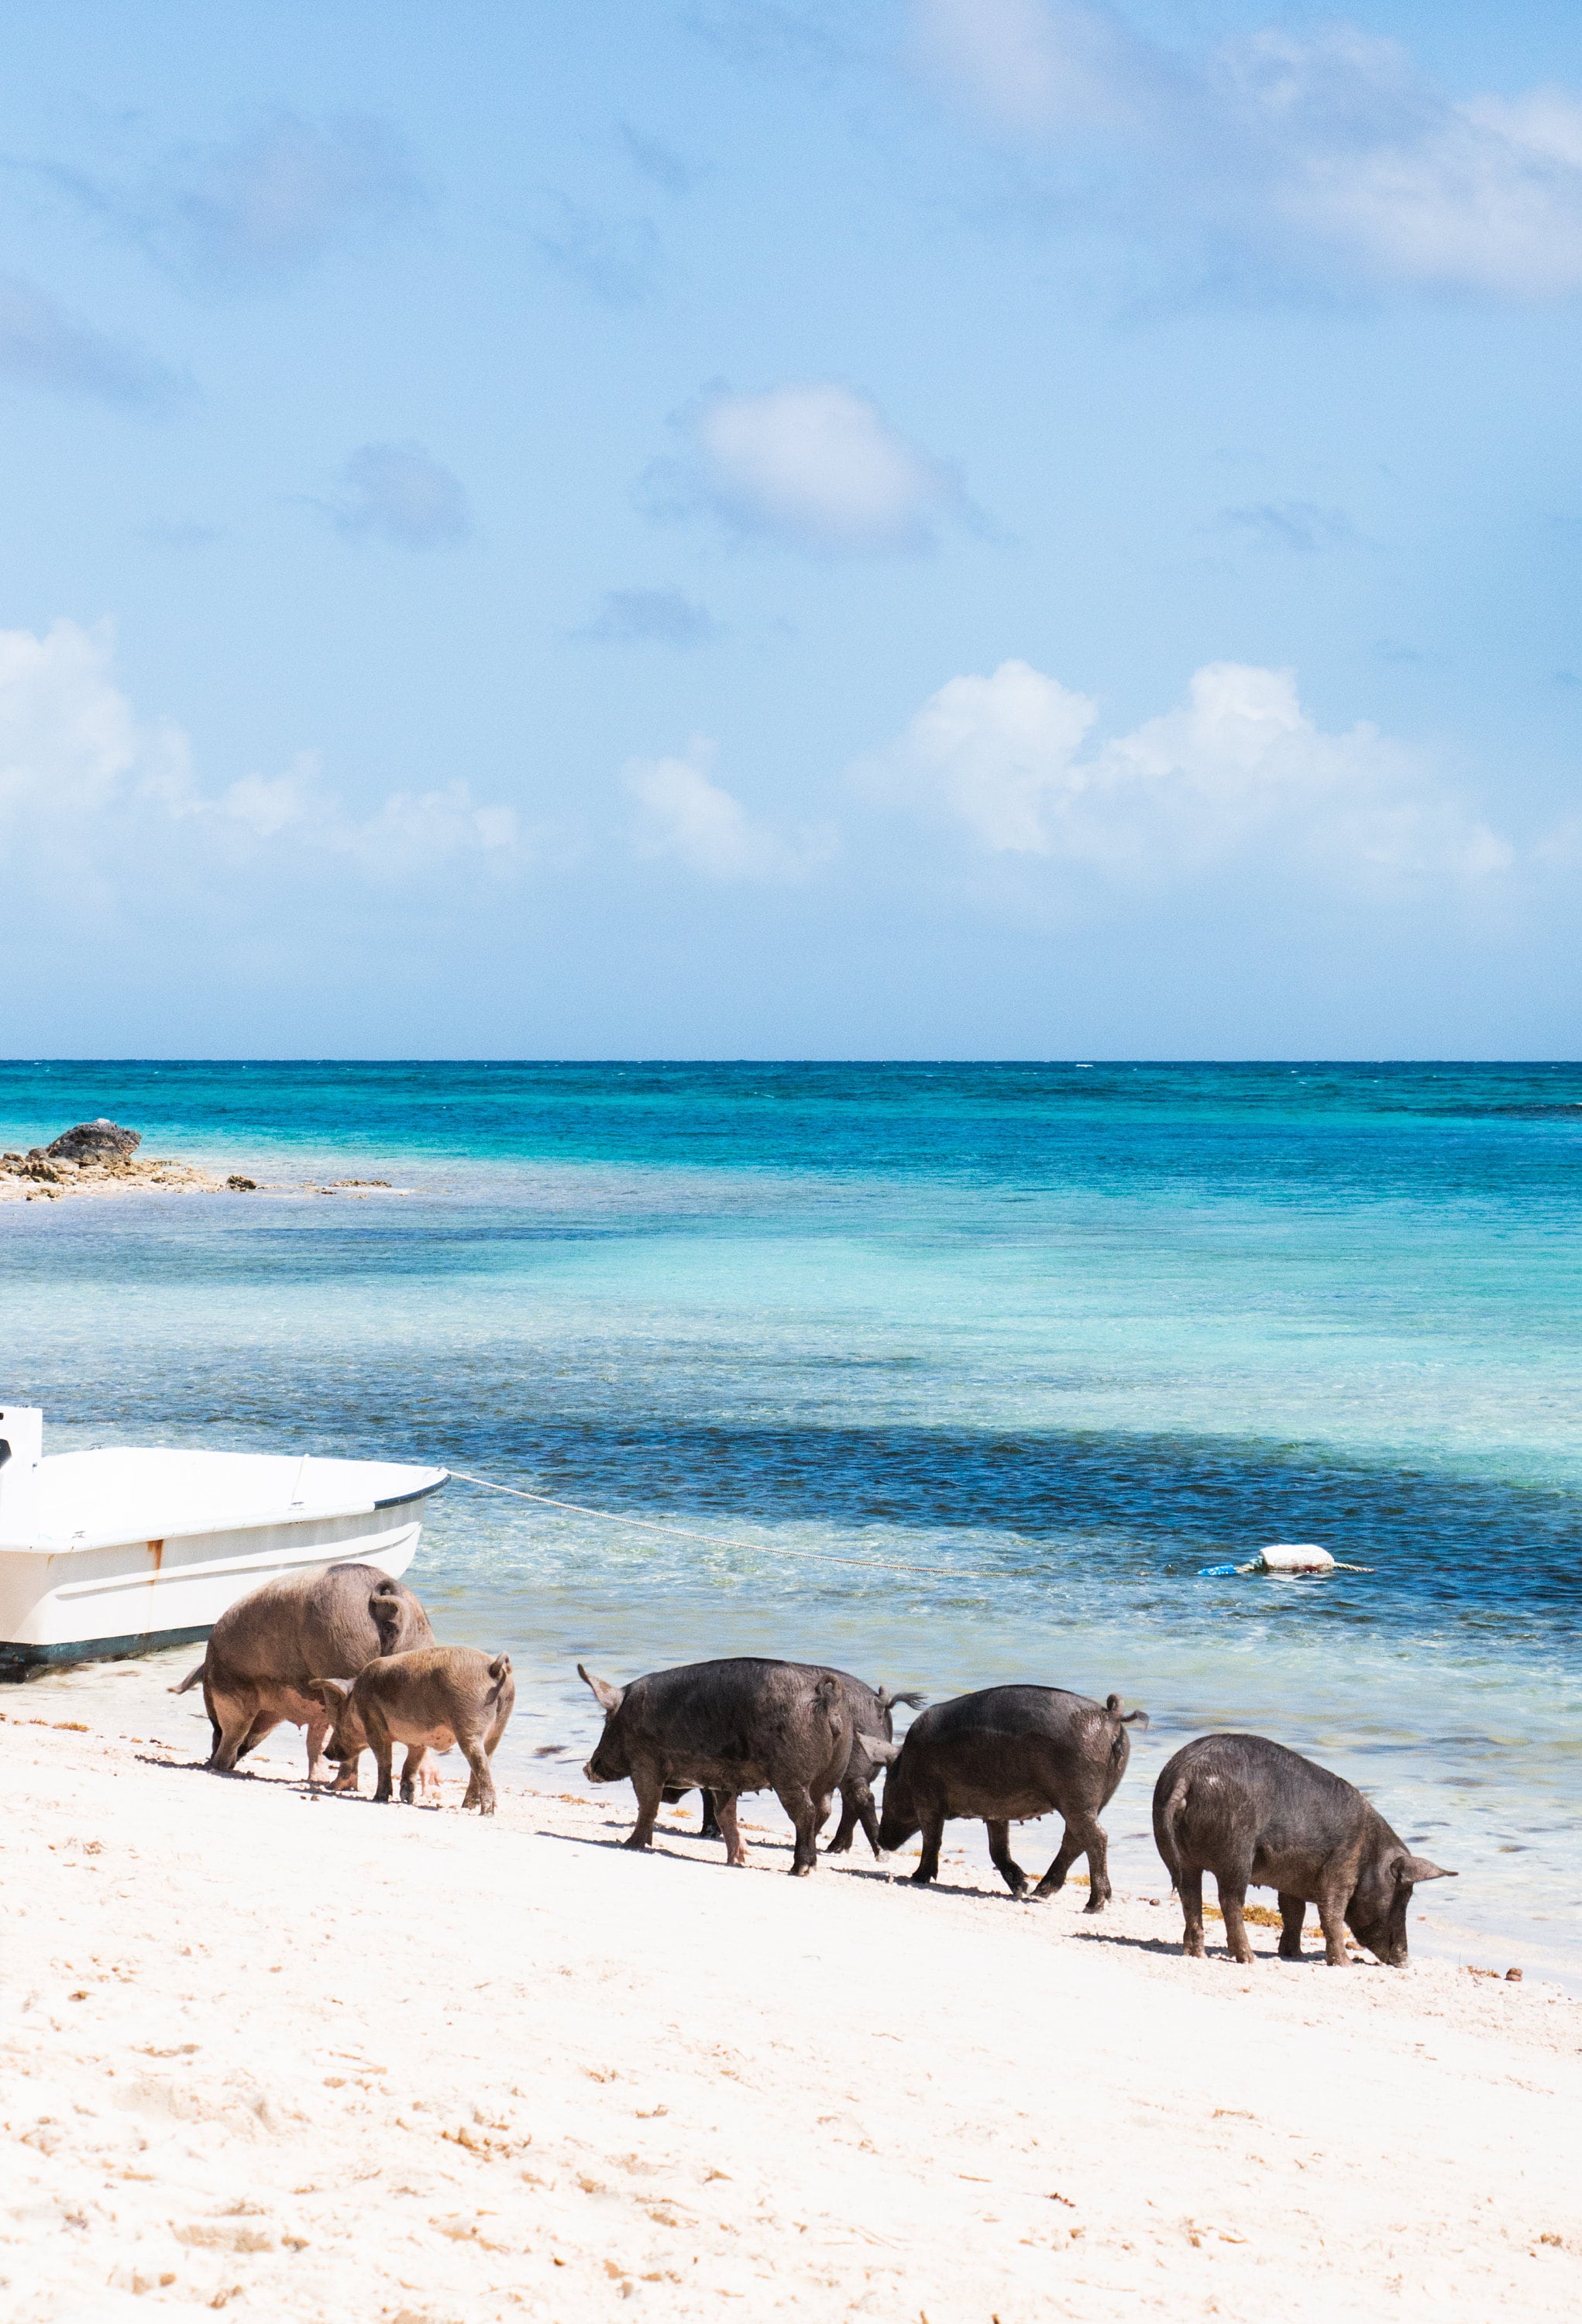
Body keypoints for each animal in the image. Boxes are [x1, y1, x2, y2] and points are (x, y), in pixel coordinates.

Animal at [171, 1564, 433, 1786]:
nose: (209, 1757)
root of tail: (382, 1596)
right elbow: (314, 1740)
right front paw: (315, 1778)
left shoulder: (232, 1690)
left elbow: (235, 1729)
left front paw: (217, 1766)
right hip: (413, 1648)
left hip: (344, 1650)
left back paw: (339, 1785)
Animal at [312, 1646, 515, 1813]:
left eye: (339, 1722)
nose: (327, 1752)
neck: (356, 1703)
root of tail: (493, 1668)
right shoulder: (418, 1741)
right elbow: (410, 1764)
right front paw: (407, 1799)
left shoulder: (374, 1726)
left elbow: (385, 1761)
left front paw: (379, 1798)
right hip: (499, 1728)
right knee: (484, 1761)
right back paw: (467, 1807)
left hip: (470, 1725)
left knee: (481, 1765)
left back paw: (486, 1812)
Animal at [577, 1655, 853, 1875]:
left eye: (605, 1719)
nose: (586, 1768)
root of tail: (825, 1694)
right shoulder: (725, 1780)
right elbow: (725, 1815)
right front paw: (737, 1860)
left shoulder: (645, 1763)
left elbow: (648, 1805)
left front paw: (629, 1845)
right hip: (831, 1773)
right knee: (823, 1807)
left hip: (790, 1776)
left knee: (805, 1812)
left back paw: (799, 1869)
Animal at [863, 1683, 1147, 1905]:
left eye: (887, 1791)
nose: (881, 1839)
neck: (908, 1765)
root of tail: (1111, 1716)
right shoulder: (995, 1809)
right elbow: (997, 1848)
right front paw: (1021, 1888)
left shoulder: (928, 1799)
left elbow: (932, 1838)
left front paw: (917, 1877)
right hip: (1096, 1798)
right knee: (1075, 1840)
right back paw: (1039, 1892)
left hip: (1078, 1796)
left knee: (1096, 1838)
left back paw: (1094, 1905)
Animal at [1152, 1733, 1456, 1967]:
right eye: (1403, 1895)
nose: (1405, 1961)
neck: (1371, 1853)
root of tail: (1189, 1773)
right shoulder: (1342, 1869)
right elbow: (1332, 1915)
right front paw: (1344, 1964)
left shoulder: (1291, 1880)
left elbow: (1293, 1912)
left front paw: (1293, 1954)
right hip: (1237, 1853)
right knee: (1230, 1901)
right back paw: (1248, 1958)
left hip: (1181, 1855)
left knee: (1190, 1896)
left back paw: (1196, 1954)